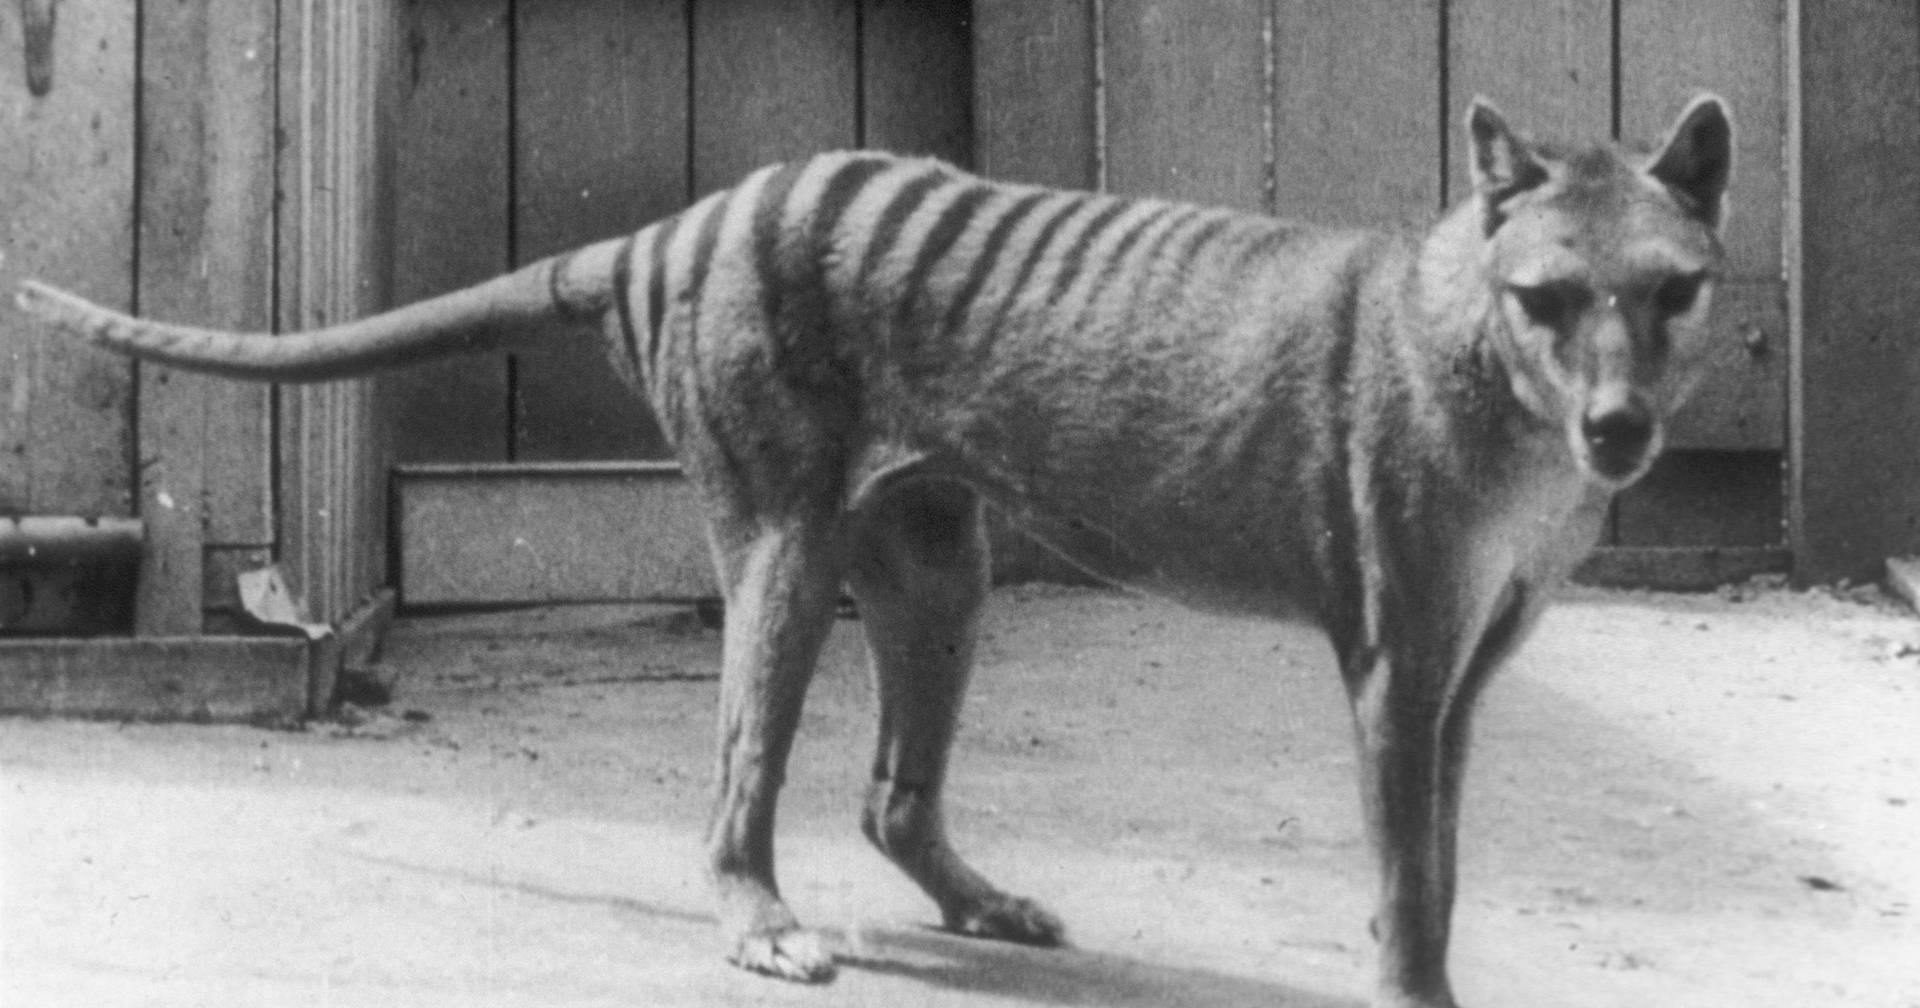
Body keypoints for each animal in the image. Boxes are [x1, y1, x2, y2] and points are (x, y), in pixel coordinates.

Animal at [18, 93, 1733, 1008]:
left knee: (890, 793)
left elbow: (1435, 863)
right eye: (1546, 297)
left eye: (1674, 289)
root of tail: (678, 228)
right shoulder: (1392, 664)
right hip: (780, 545)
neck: (1473, 352)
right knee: (740, 784)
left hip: (935, 567)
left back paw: (977, 901)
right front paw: (1412, 986)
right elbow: (1412, 877)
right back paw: (759, 922)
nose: (1621, 433)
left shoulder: (1458, 677)